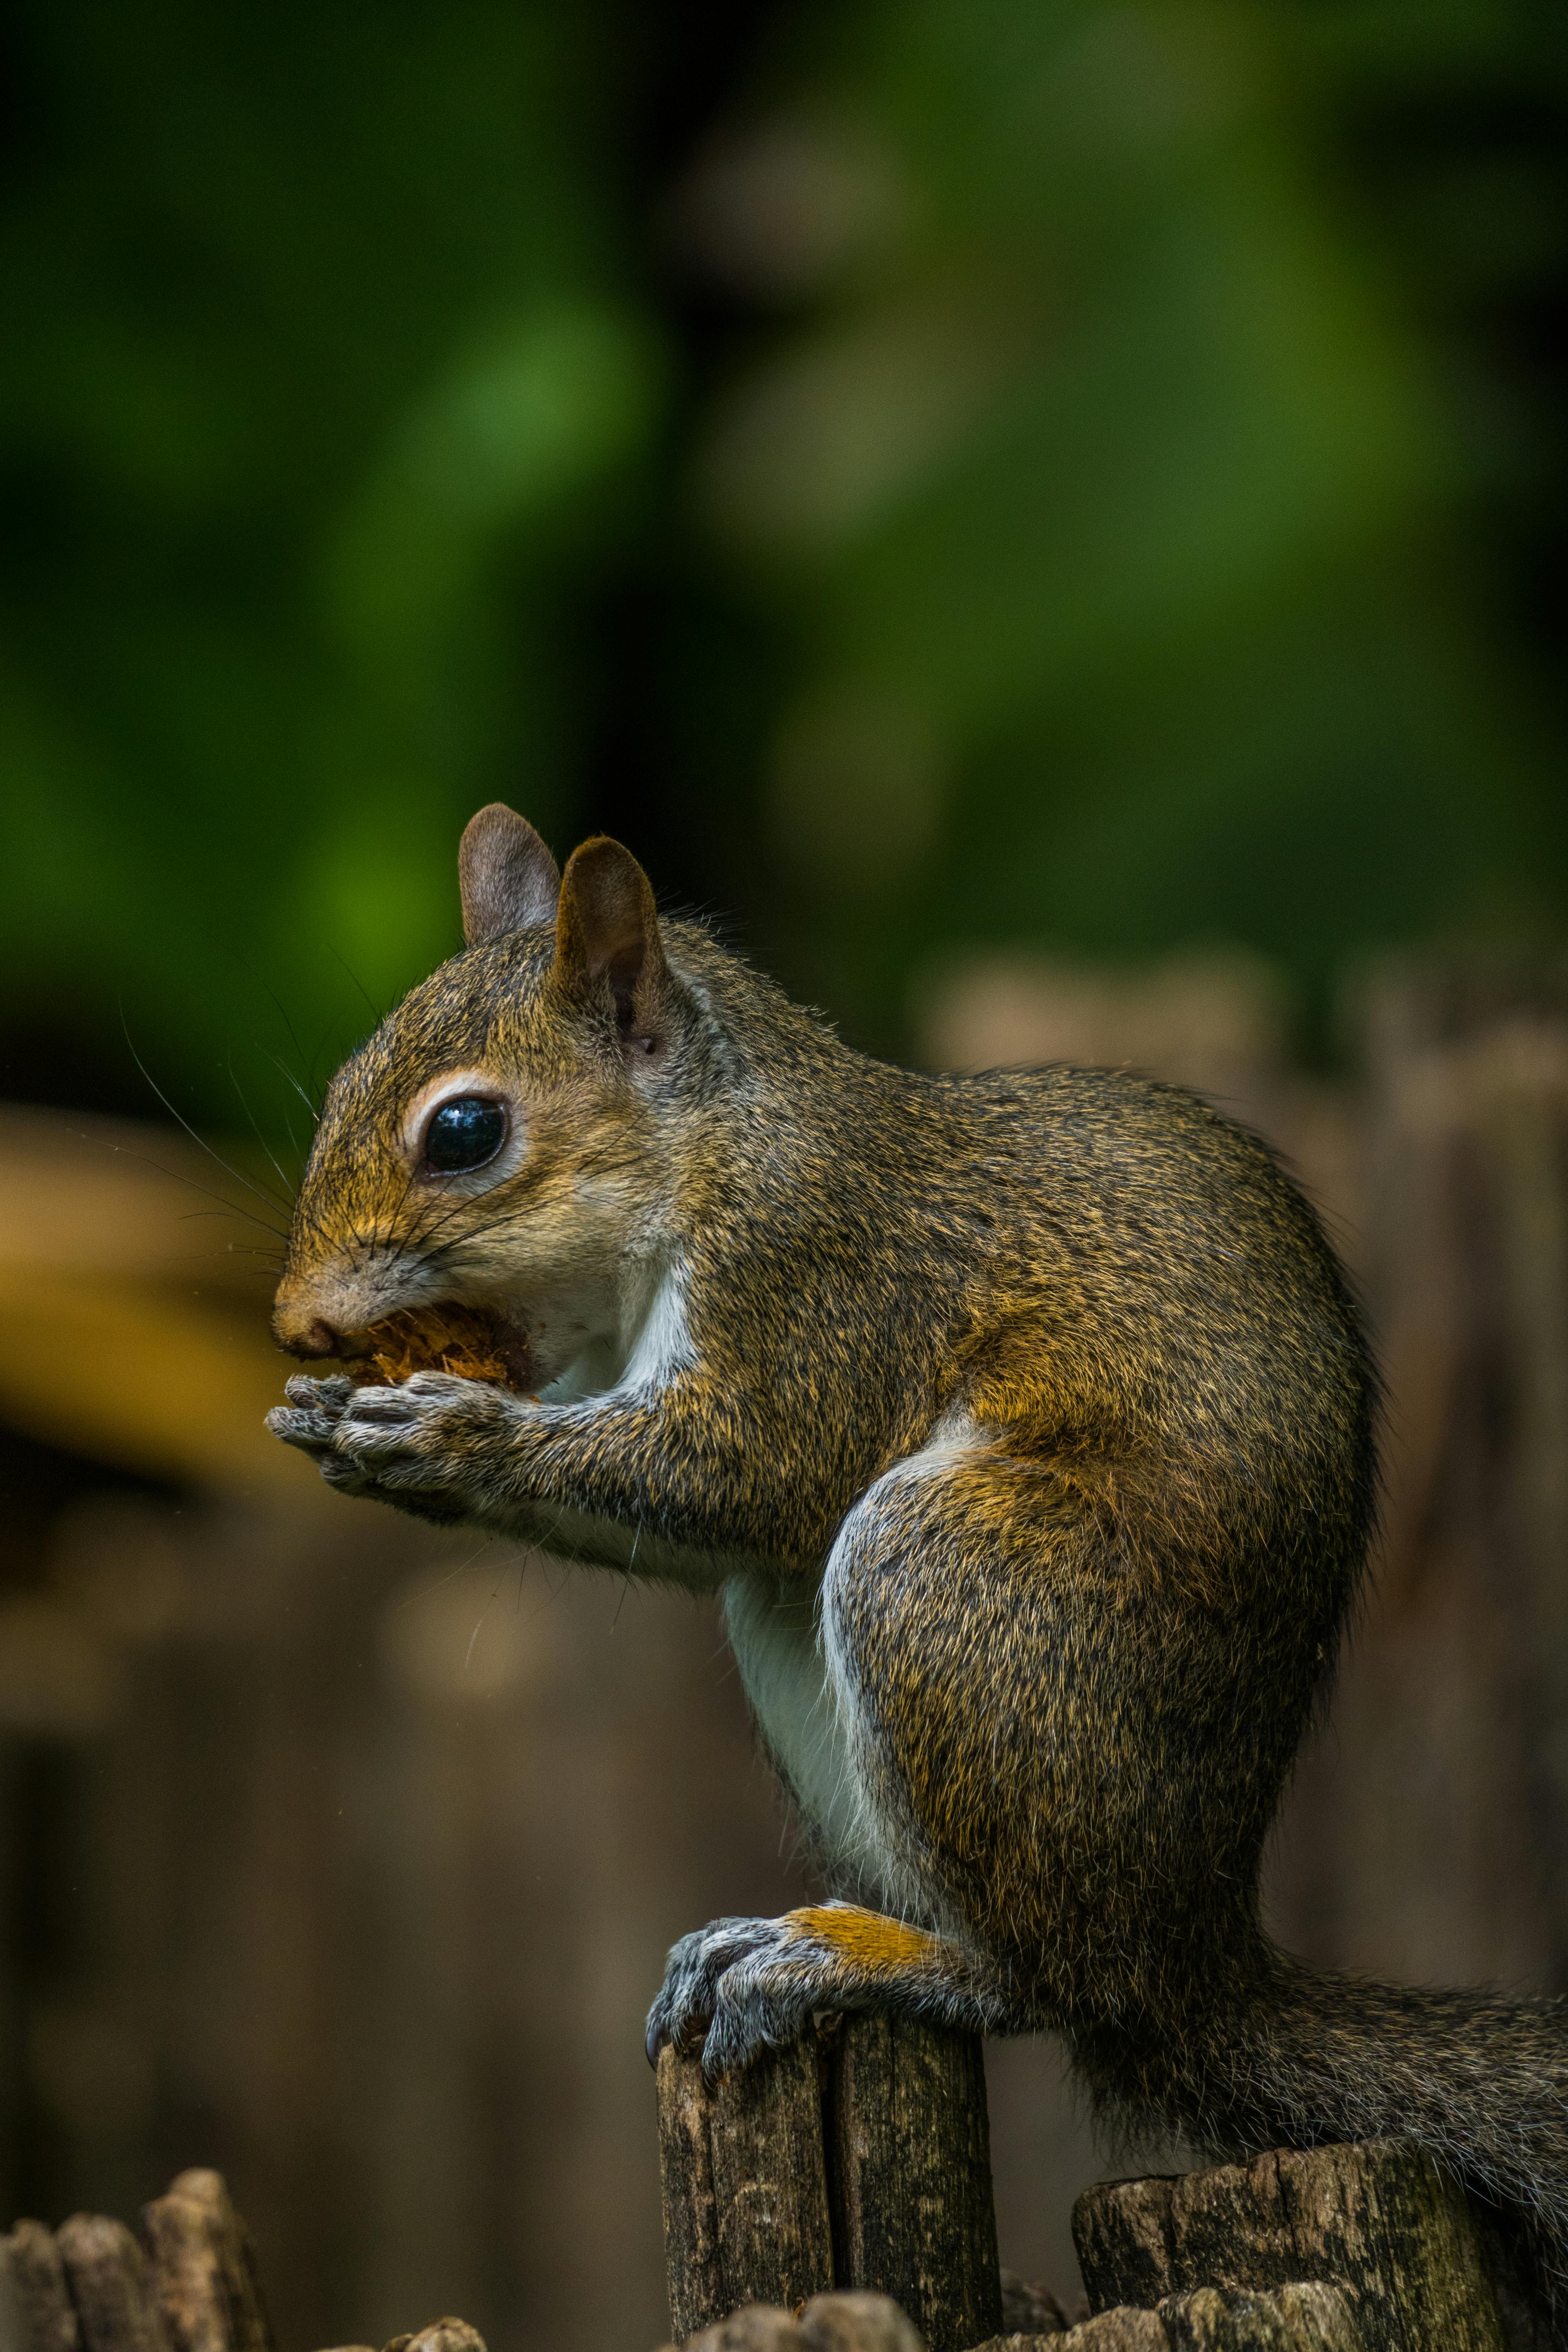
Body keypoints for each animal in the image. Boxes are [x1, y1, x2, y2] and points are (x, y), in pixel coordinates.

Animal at [269, 803, 1568, 2328]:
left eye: (466, 1131)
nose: (295, 1320)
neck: (706, 1150)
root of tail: (1192, 1947)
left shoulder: (818, 1282)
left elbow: (745, 1473)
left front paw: (448, 1440)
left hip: (948, 1585)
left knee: (1046, 1984)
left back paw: (872, 1959)